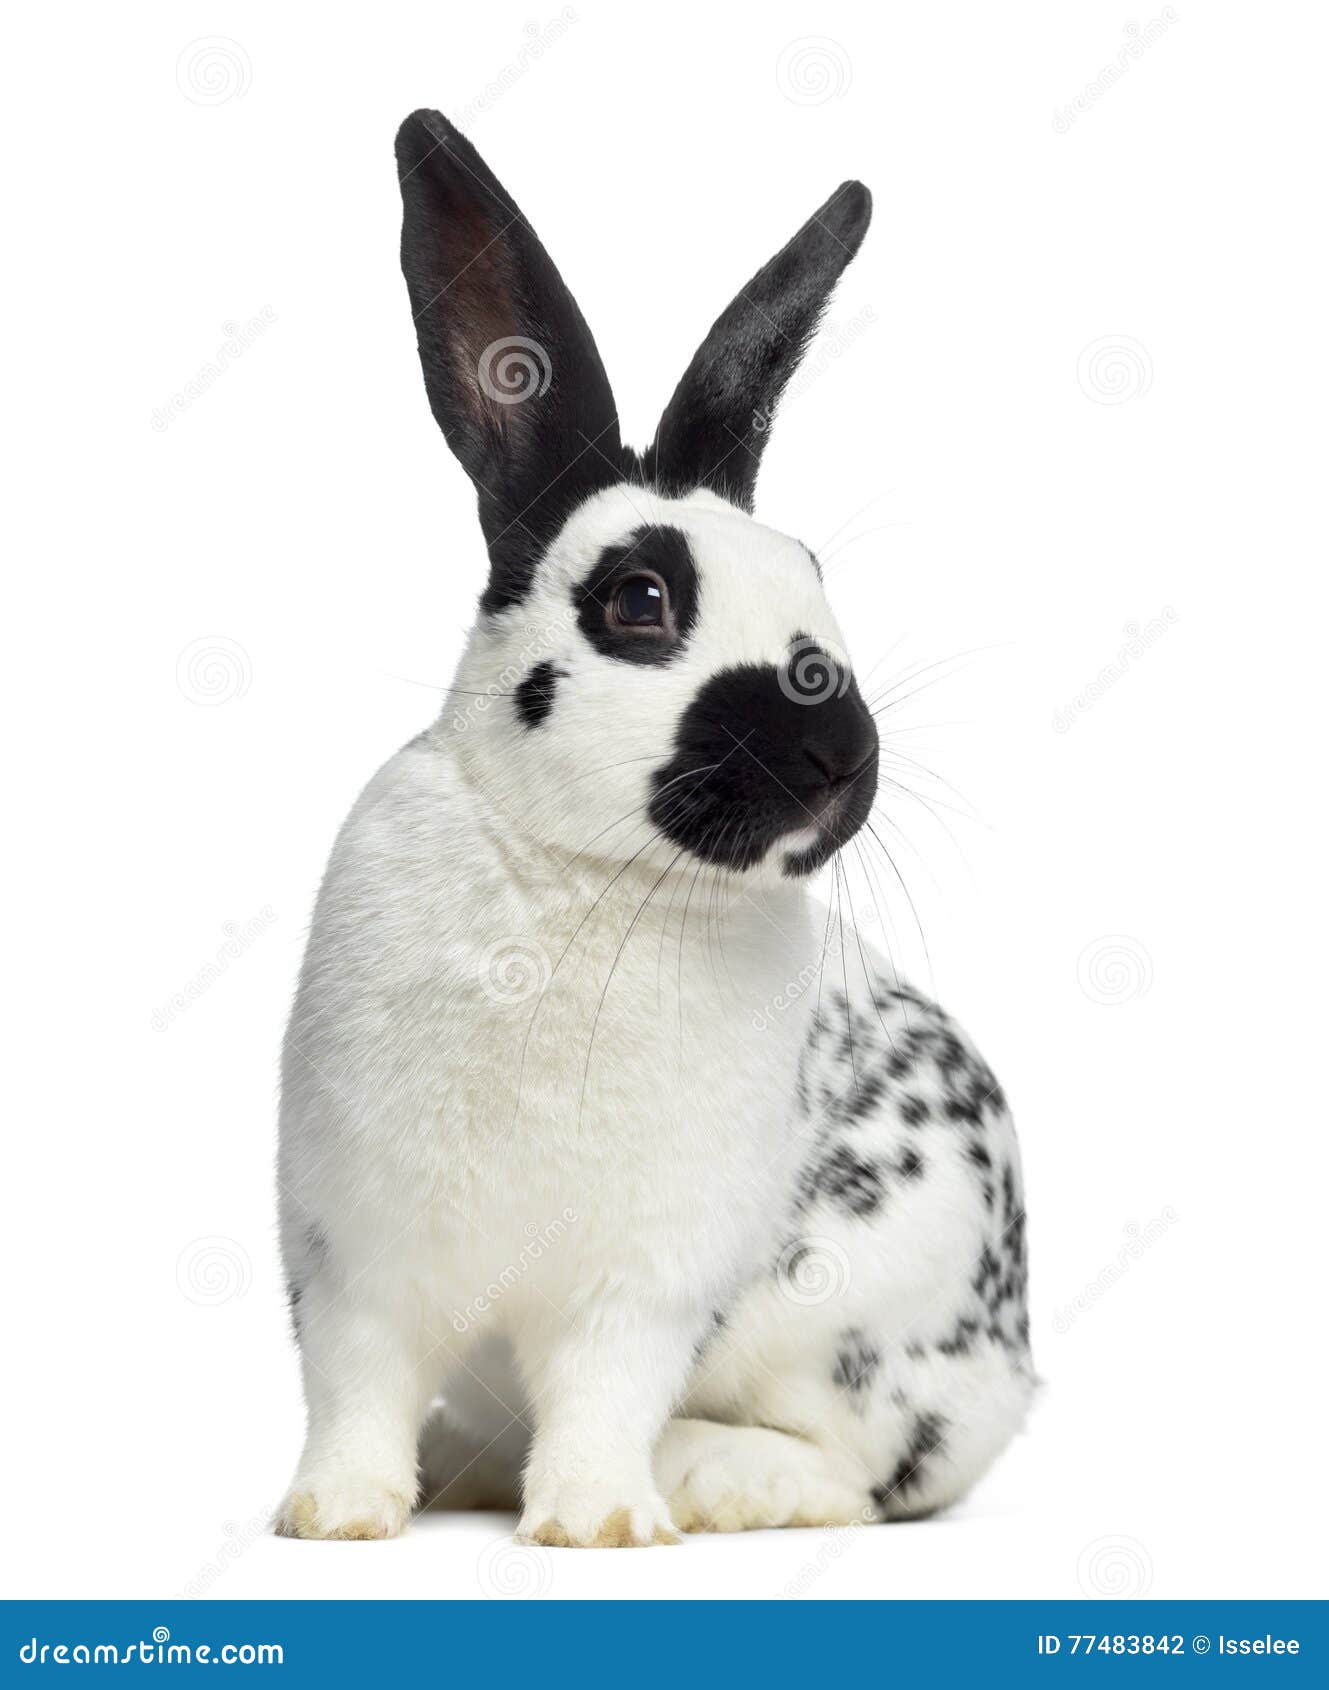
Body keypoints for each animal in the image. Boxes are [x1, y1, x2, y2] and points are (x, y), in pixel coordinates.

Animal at [275, 108, 1032, 1548]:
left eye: (814, 579)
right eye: (638, 599)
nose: (840, 756)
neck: (578, 873)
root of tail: (1012, 1368)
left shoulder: (640, 1281)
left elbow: (604, 1391)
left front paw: (596, 1524)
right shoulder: (353, 1252)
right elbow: (355, 1388)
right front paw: (335, 1516)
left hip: (856, 1325)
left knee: (866, 1472)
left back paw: (710, 1476)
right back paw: (465, 1468)